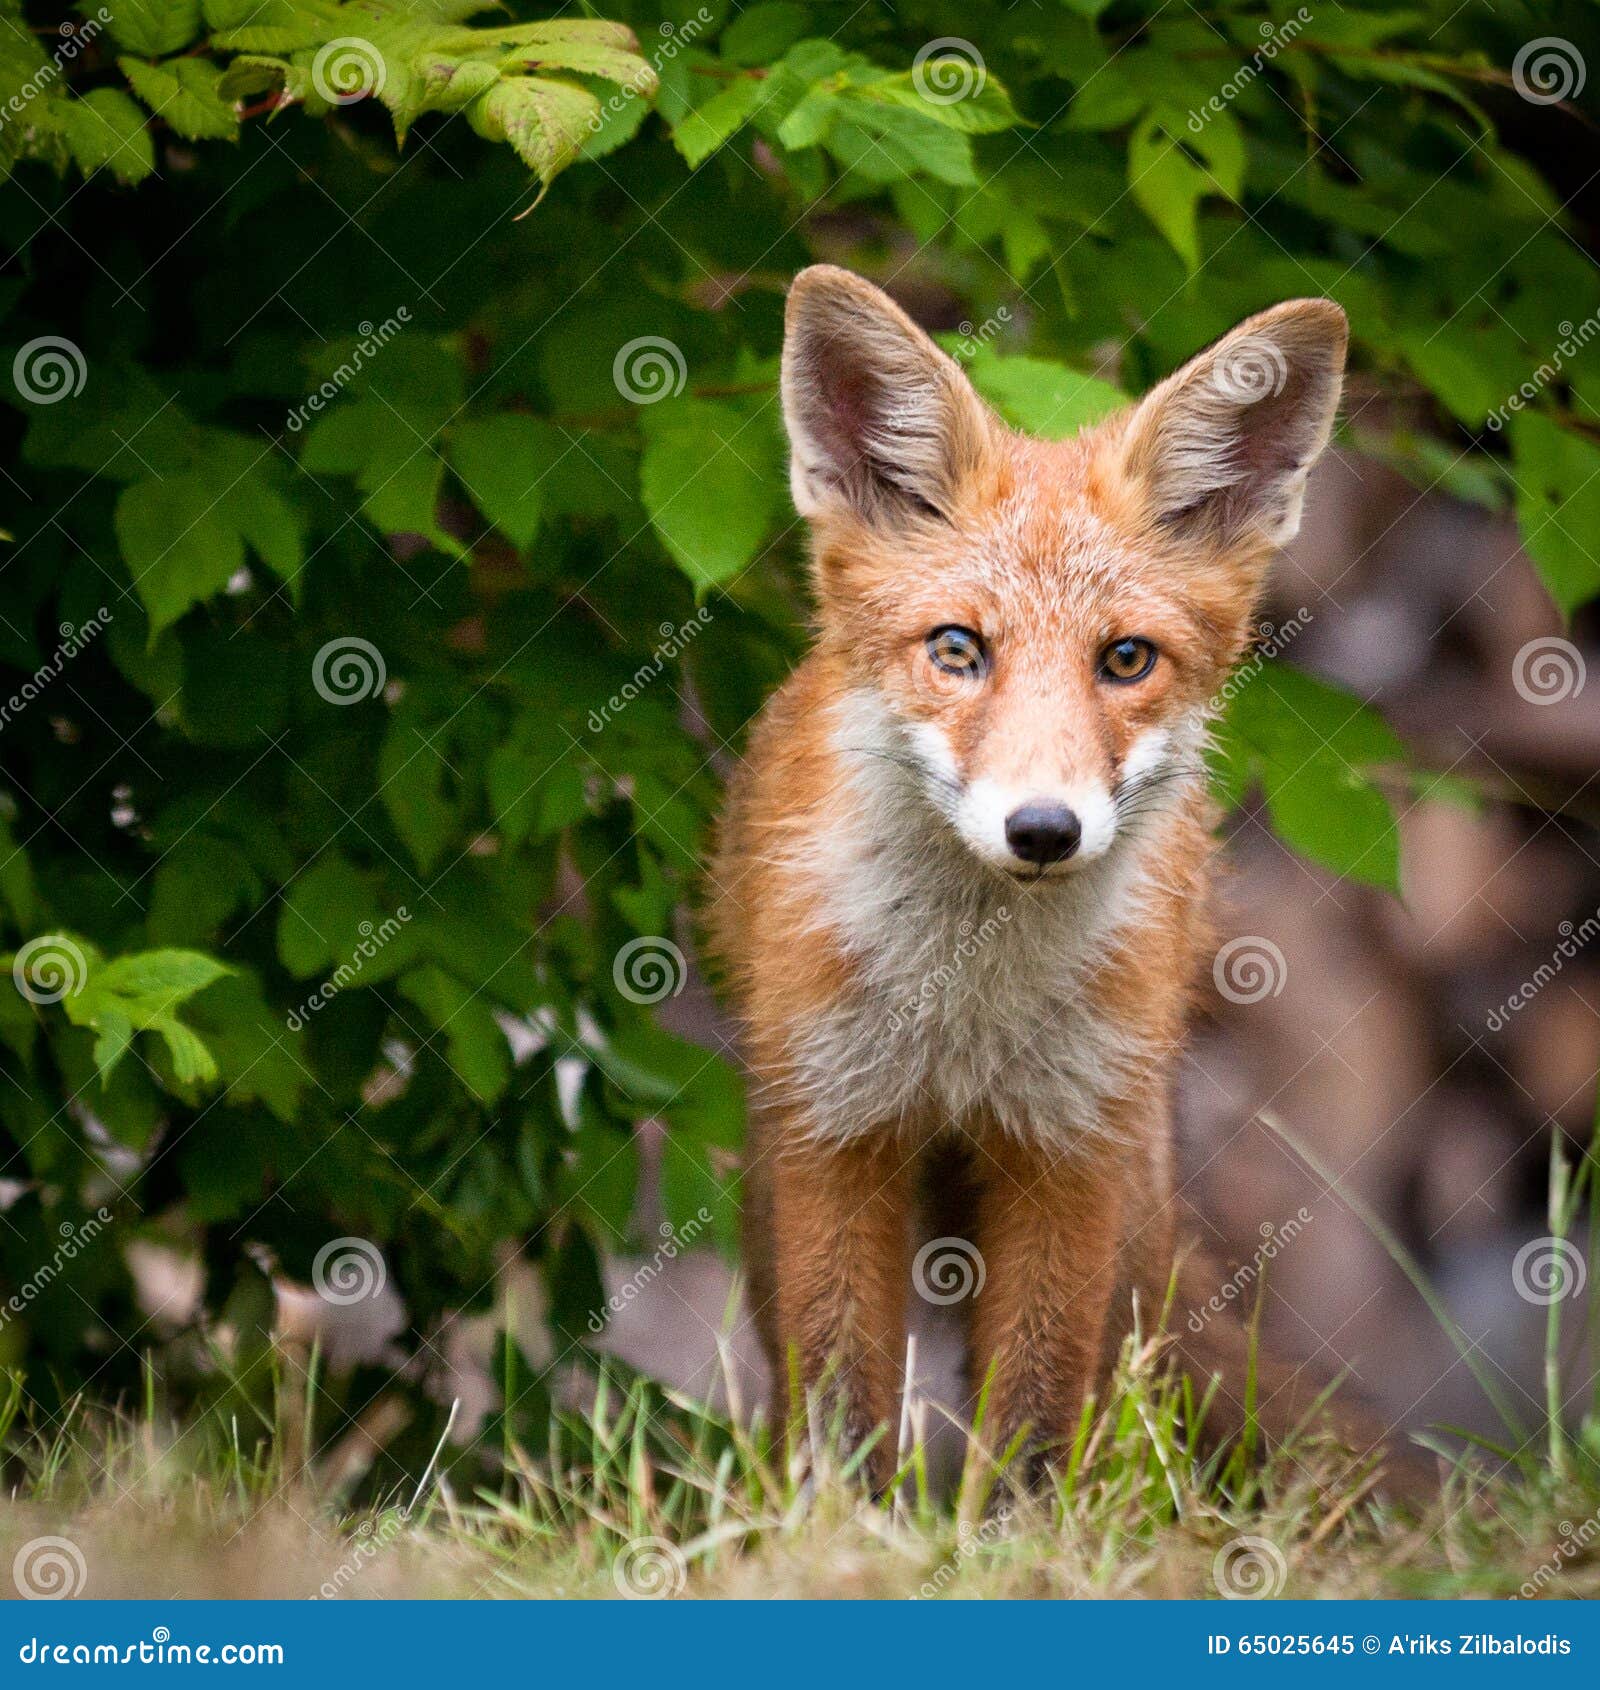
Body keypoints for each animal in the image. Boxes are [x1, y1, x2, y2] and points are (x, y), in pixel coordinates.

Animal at [708, 264, 1406, 1494]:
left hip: (1129, 1193)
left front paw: (1013, 1531)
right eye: (957, 649)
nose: (1042, 829)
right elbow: (839, 1391)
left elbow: (1035, 1407)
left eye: (1124, 659)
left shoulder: (1066, 1147)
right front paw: (837, 1522)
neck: (966, 1008)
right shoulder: (837, 1130)